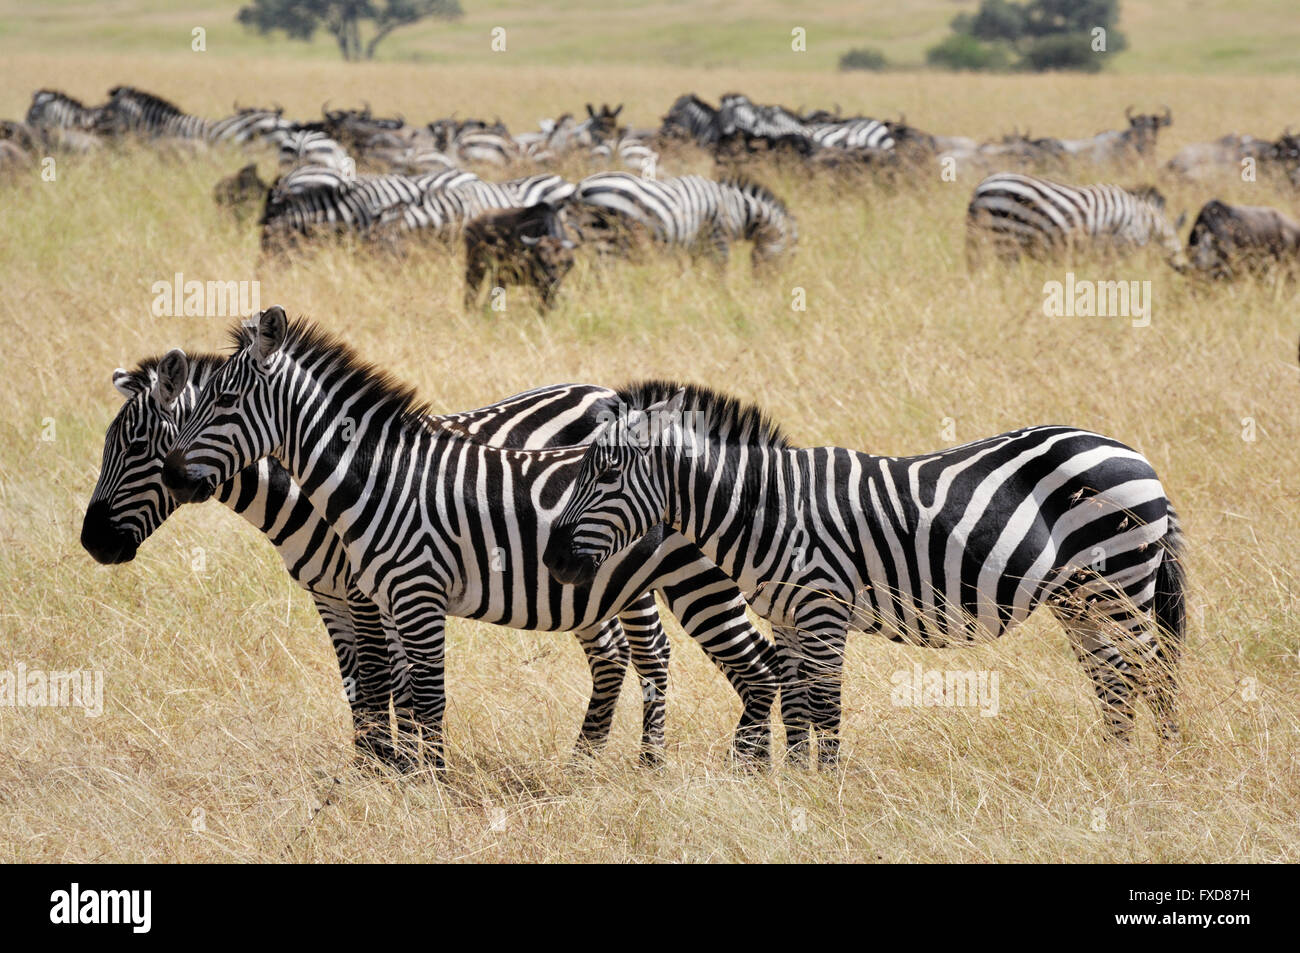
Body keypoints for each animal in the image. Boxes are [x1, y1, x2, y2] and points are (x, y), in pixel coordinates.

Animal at [160, 309, 786, 768]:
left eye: (223, 402)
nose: (172, 474)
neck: (378, 478)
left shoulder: (415, 595)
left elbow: (425, 697)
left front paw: (427, 787)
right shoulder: (377, 597)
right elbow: (389, 690)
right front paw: (396, 776)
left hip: (697, 579)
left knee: (756, 666)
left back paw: (741, 774)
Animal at [542, 382, 1188, 766]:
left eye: (605, 474)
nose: (552, 561)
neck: (768, 506)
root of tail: (1133, 453)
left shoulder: (823, 609)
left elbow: (826, 705)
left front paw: (827, 791)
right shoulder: (787, 618)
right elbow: (795, 703)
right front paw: (794, 787)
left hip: (1123, 581)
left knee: (1151, 672)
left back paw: (1159, 770)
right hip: (1081, 599)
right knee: (1113, 678)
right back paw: (1115, 767)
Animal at [573, 172, 796, 266]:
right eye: (788, 256)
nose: (766, 287)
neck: (739, 209)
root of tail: (582, 186)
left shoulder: (697, 247)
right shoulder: (718, 240)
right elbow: (720, 273)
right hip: (607, 238)